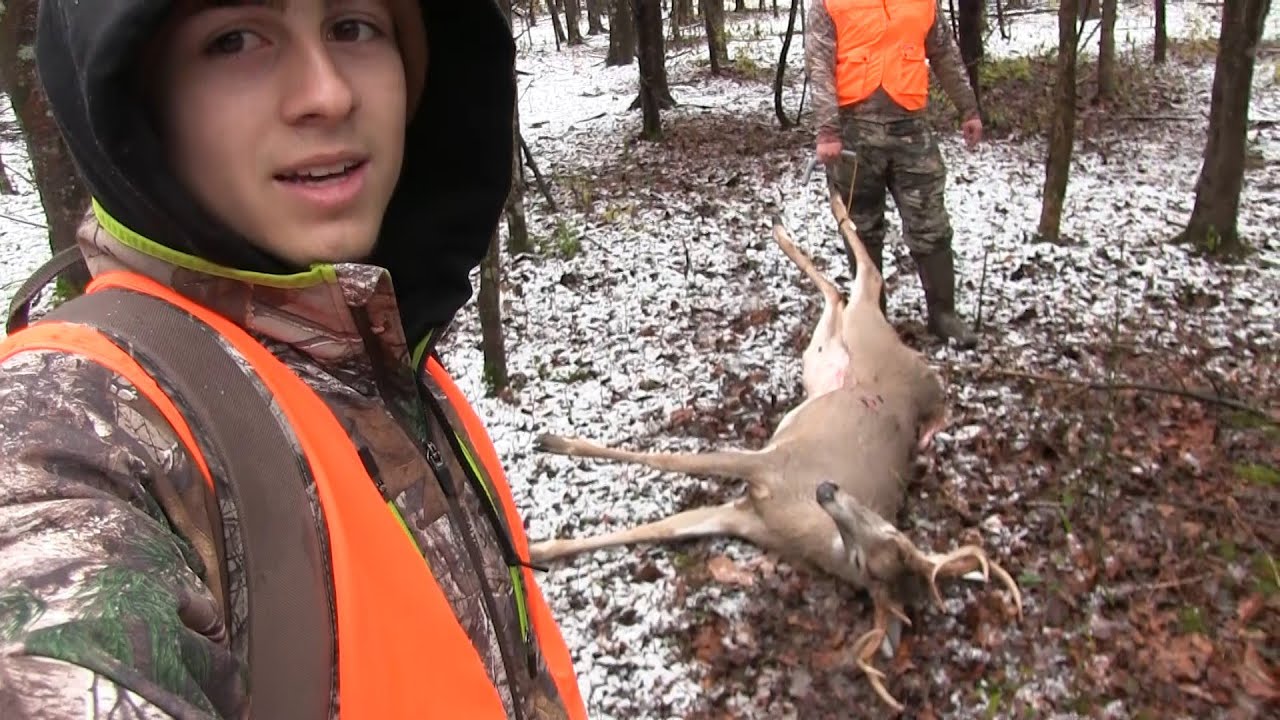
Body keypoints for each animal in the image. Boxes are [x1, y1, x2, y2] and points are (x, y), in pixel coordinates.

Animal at [527, 186, 1022, 713]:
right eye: (886, 531)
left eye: (869, 560)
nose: (829, 490)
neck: (791, 516)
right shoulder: (773, 465)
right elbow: (668, 463)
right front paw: (551, 448)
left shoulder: (748, 506)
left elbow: (661, 520)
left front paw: (539, 537)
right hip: (859, 333)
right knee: (861, 277)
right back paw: (810, 214)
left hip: (828, 351)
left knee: (845, 288)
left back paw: (794, 225)